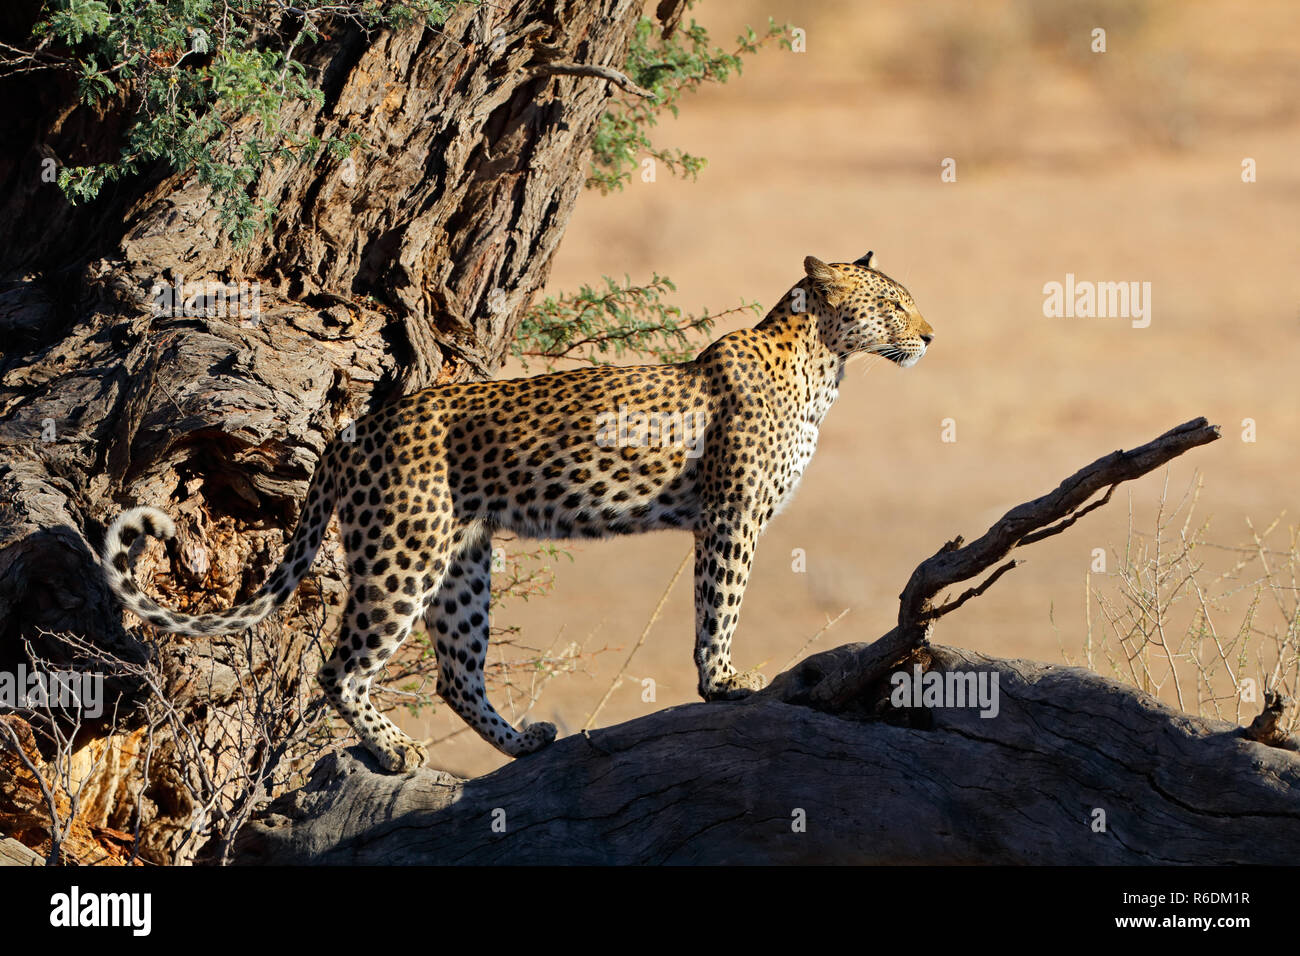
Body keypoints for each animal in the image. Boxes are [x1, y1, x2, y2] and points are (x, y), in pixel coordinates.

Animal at [101, 252, 935, 773]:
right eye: (893, 303)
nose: (929, 334)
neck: (823, 363)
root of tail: (354, 428)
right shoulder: (731, 515)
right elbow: (720, 603)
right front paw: (725, 681)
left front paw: (720, 680)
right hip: (402, 557)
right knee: (341, 669)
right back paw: (395, 752)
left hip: (461, 562)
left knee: (454, 675)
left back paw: (522, 744)